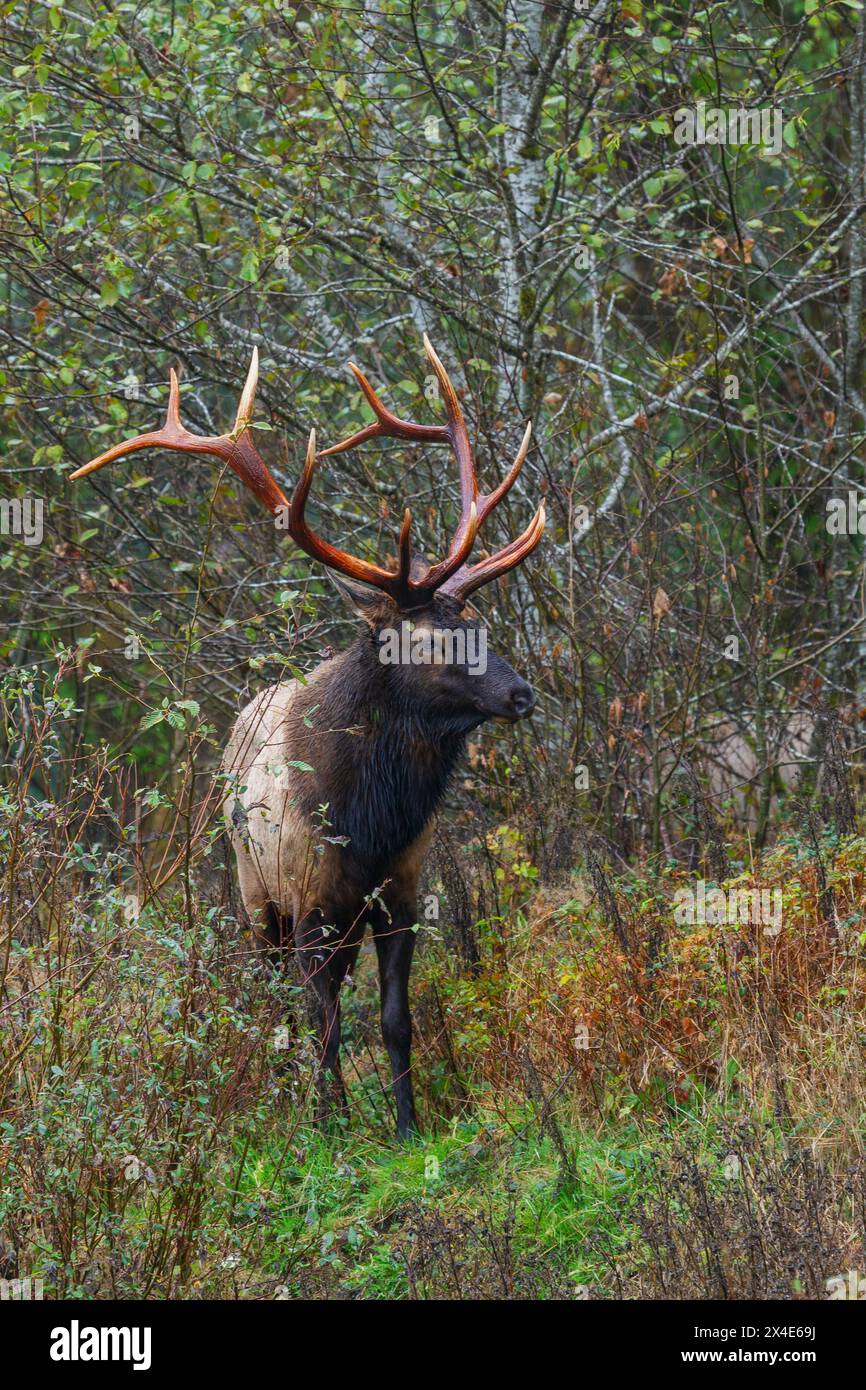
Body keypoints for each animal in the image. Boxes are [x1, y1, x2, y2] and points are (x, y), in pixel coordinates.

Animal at [71, 338, 545, 1137]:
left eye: (476, 623)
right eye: (427, 640)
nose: (522, 693)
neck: (369, 818)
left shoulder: (400, 894)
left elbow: (394, 1020)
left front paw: (407, 1125)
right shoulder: (307, 900)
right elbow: (324, 1021)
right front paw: (333, 1127)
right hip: (254, 893)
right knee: (274, 1001)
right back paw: (288, 1094)